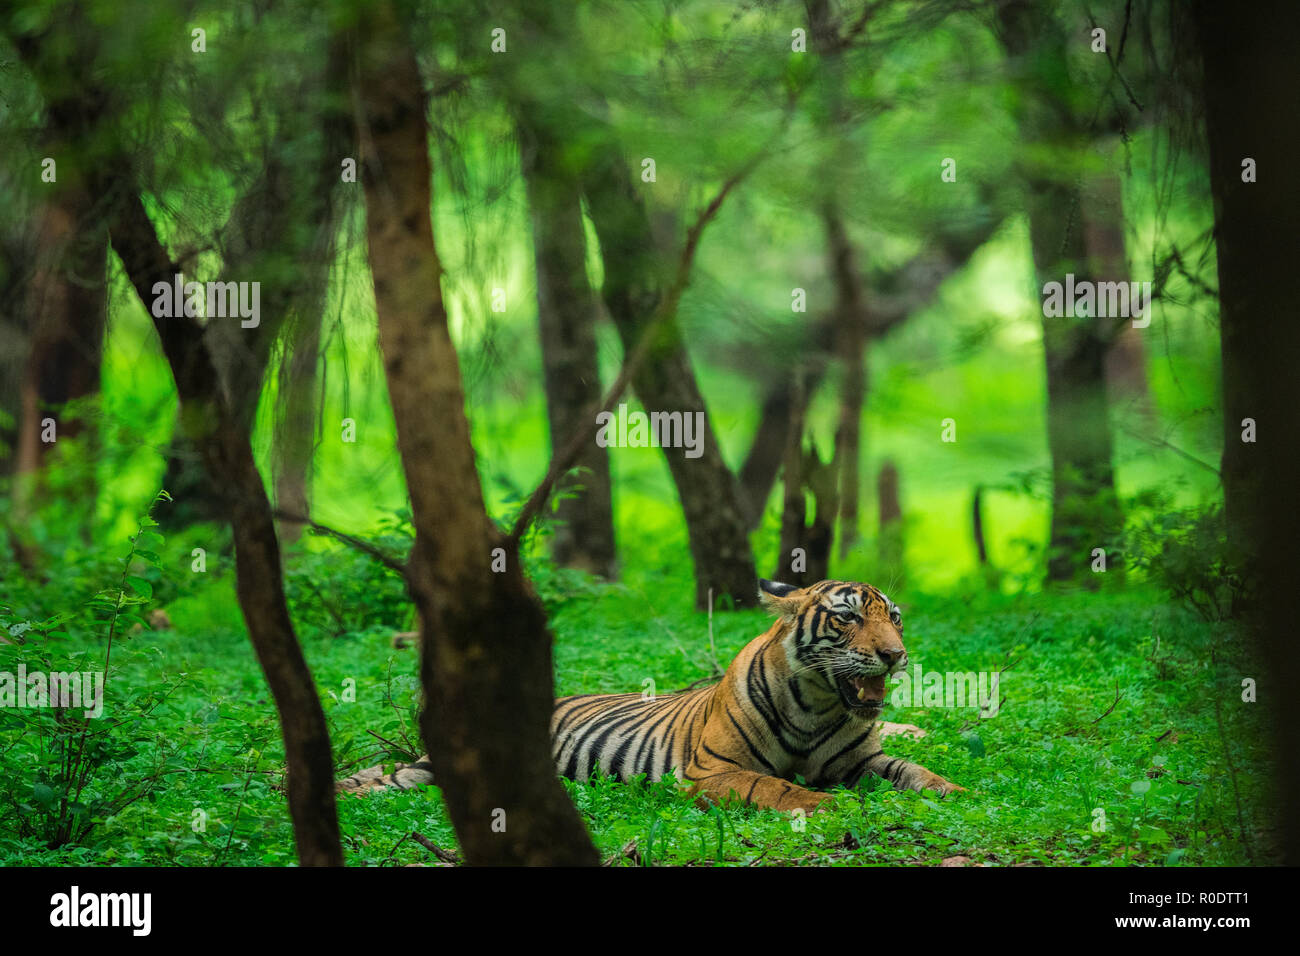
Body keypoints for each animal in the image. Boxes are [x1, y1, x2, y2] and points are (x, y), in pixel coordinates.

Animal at [336, 578, 964, 813]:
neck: (818, 702)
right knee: (382, 780)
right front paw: (821, 805)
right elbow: (772, 784)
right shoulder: (712, 770)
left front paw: (955, 791)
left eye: (895, 620)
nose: (895, 655)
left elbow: (913, 770)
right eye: (848, 618)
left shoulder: (862, 761)